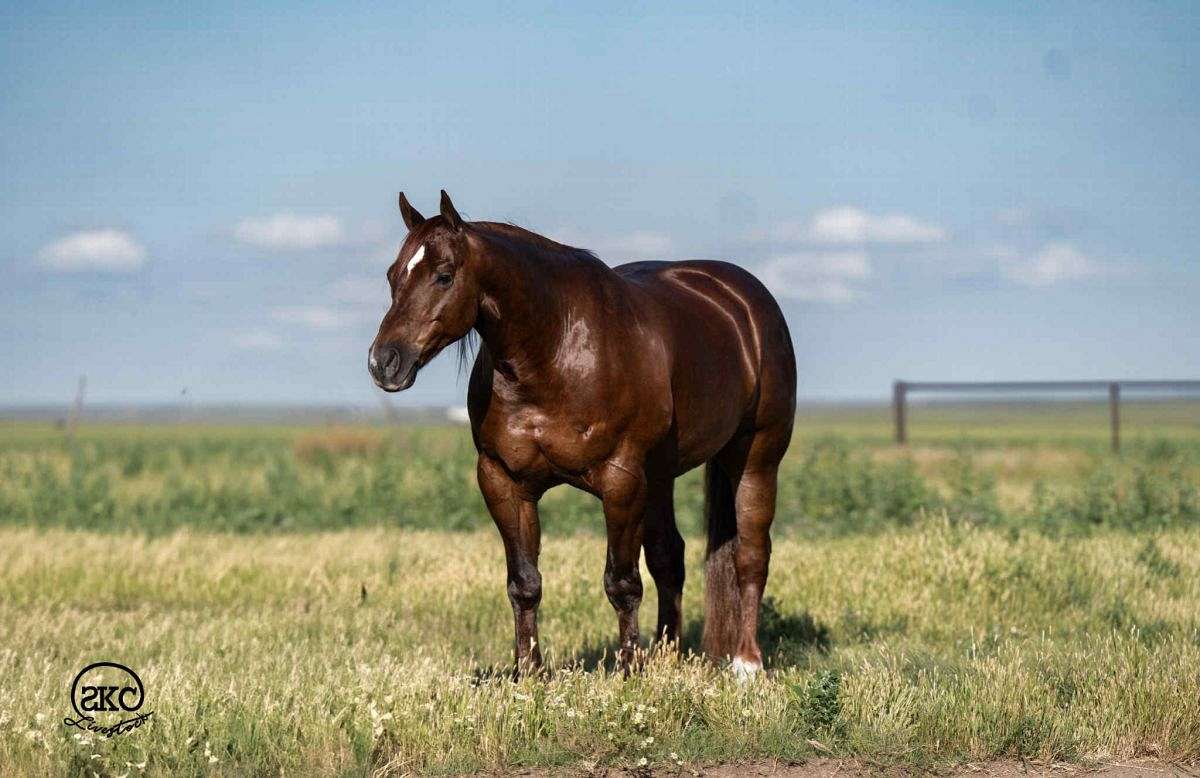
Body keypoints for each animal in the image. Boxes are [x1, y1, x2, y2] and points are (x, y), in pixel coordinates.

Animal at [369, 190, 796, 678]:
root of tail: (743, 301)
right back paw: (667, 653)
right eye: (393, 275)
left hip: (756, 457)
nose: (384, 362)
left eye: (443, 275)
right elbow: (524, 582)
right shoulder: (503, 481)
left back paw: (746, 664)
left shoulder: (621, 481)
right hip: (660, 477)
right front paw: (529, 673)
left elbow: (622, 582)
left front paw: (628, 671)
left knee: (751, 555)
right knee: (670, 557)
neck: (555, 352)